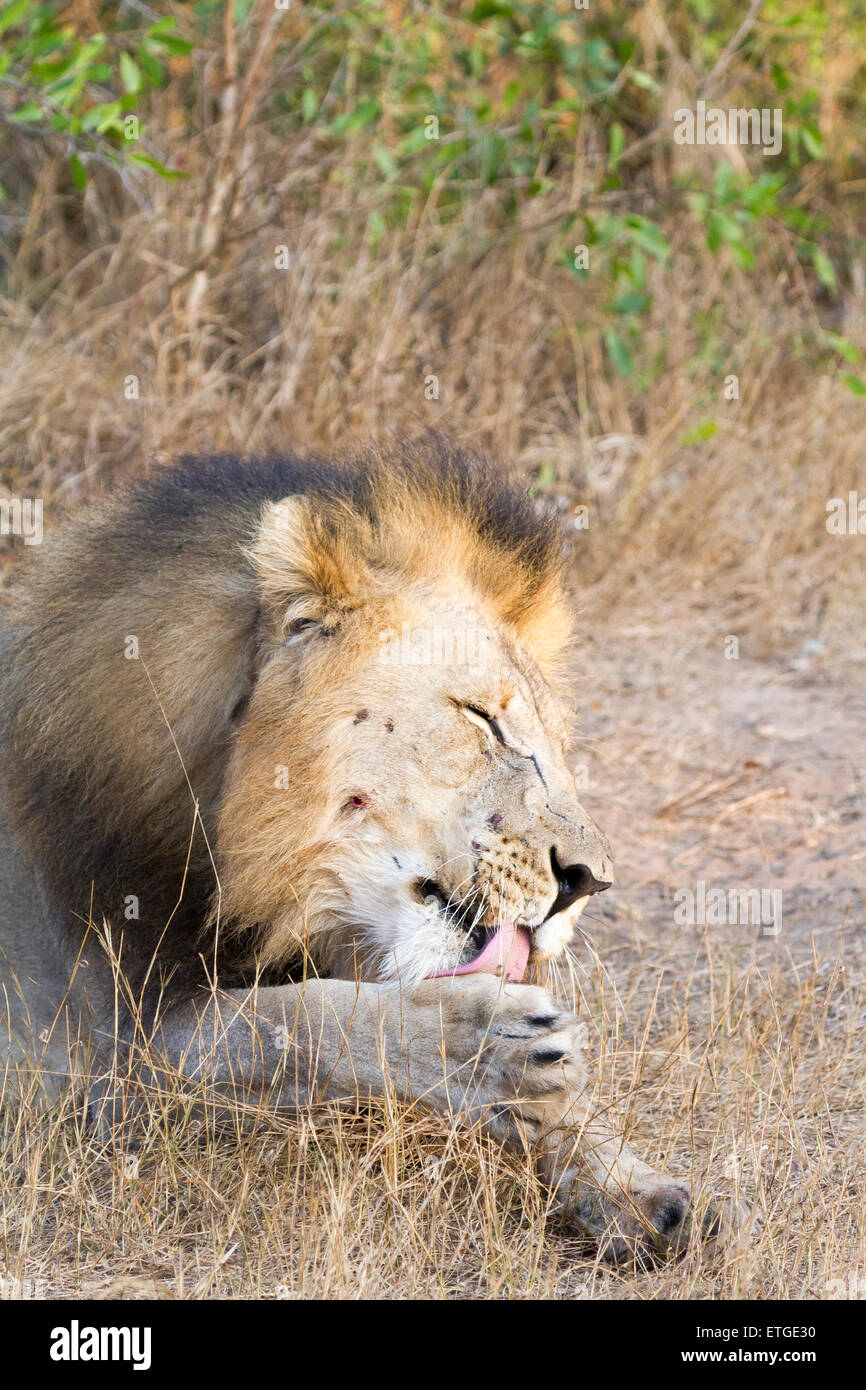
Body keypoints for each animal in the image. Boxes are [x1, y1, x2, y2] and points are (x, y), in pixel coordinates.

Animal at [0, 439, 744, 1261]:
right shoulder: (87, 1060)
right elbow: (292, 1021)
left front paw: (629, 1180)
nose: (589, 881)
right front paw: (484, 1043)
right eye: (482, 718)